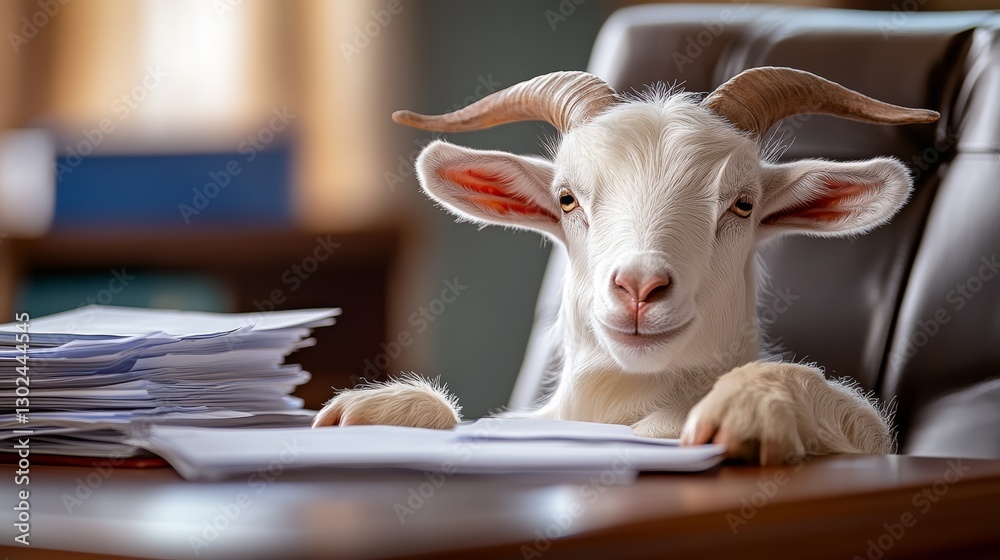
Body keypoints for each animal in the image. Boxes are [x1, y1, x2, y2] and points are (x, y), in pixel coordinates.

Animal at [312, 68, 939, 465]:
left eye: (743, 204)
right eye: (567, 198)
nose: (639, 287)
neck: (623, 405)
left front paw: (750, 408)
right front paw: (376, 412)